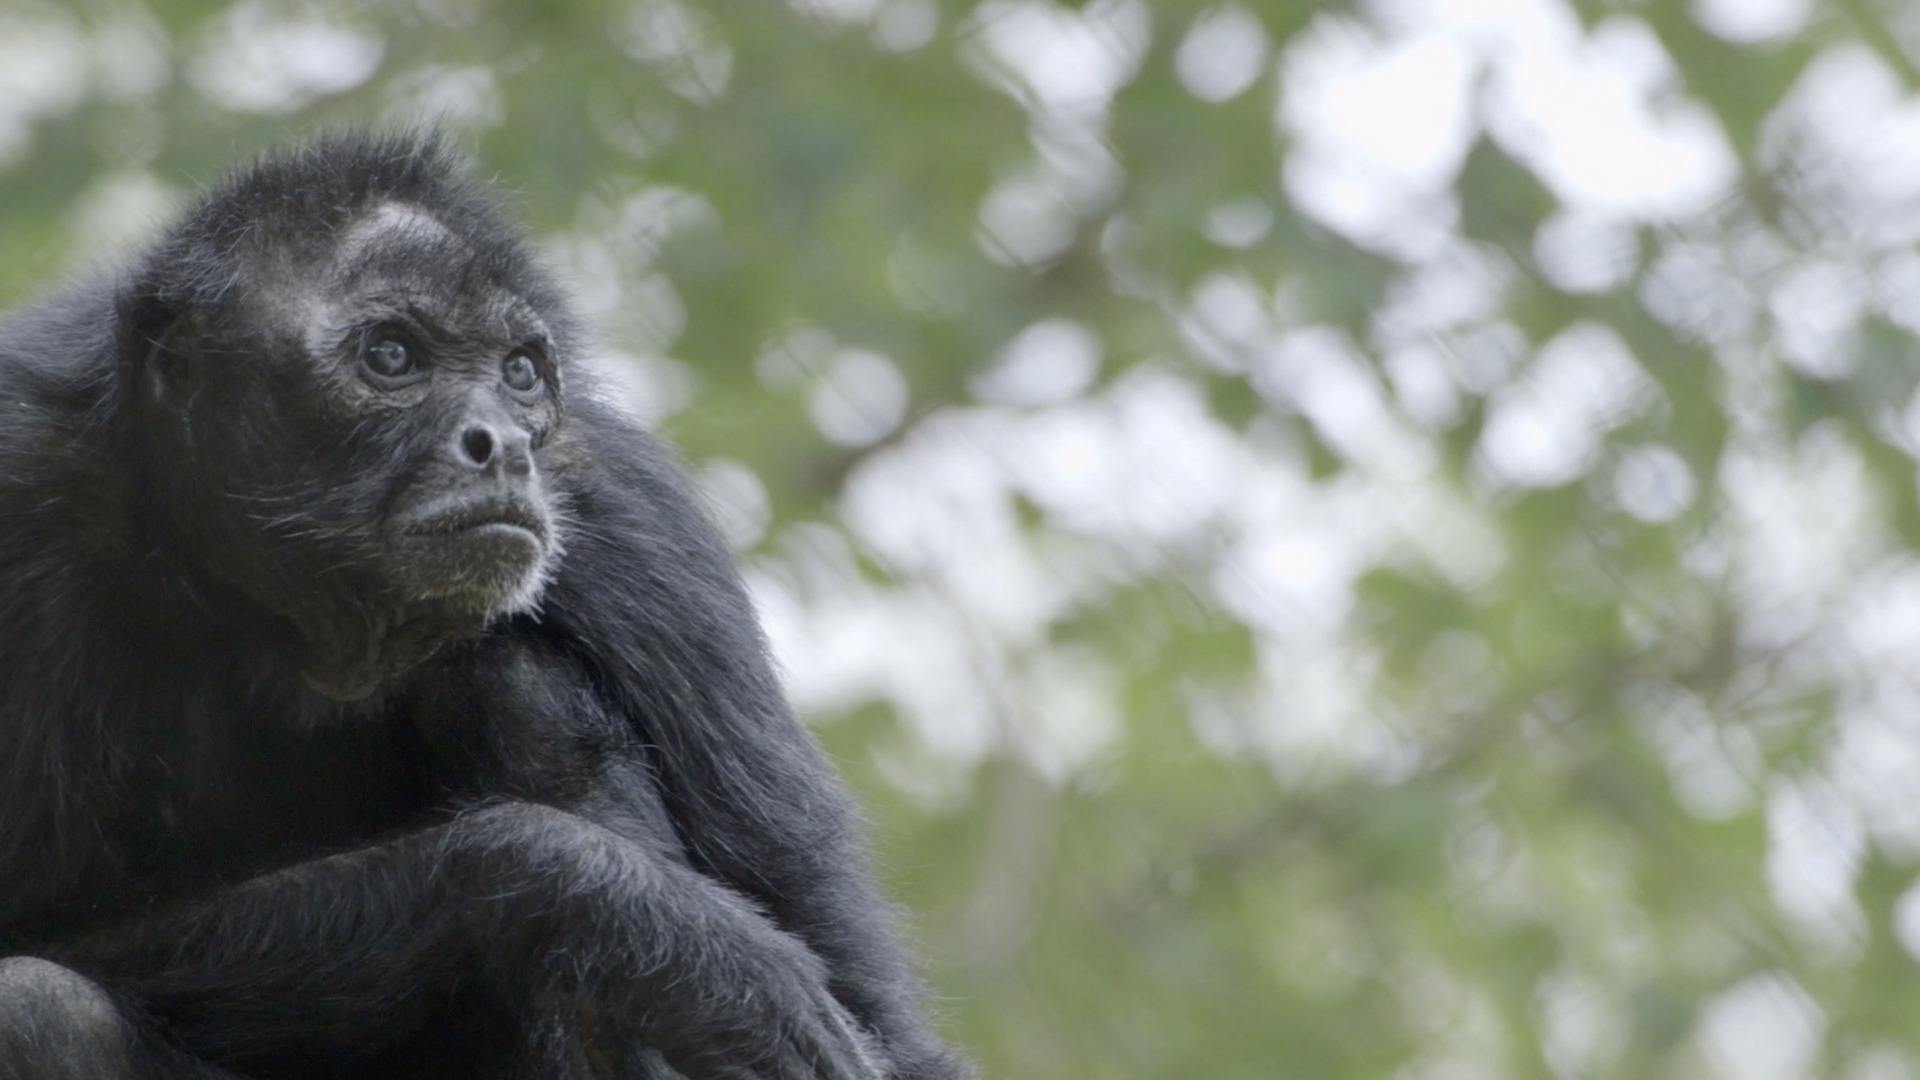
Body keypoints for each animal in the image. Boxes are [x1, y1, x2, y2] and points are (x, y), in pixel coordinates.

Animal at [0, 132, 966, 1080]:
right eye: (392, 356)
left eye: (519, 374)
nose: (497, 442)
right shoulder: (24, 470)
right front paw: (622, 909)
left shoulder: (633, 524)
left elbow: (882, 1024)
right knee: (40, 1012)